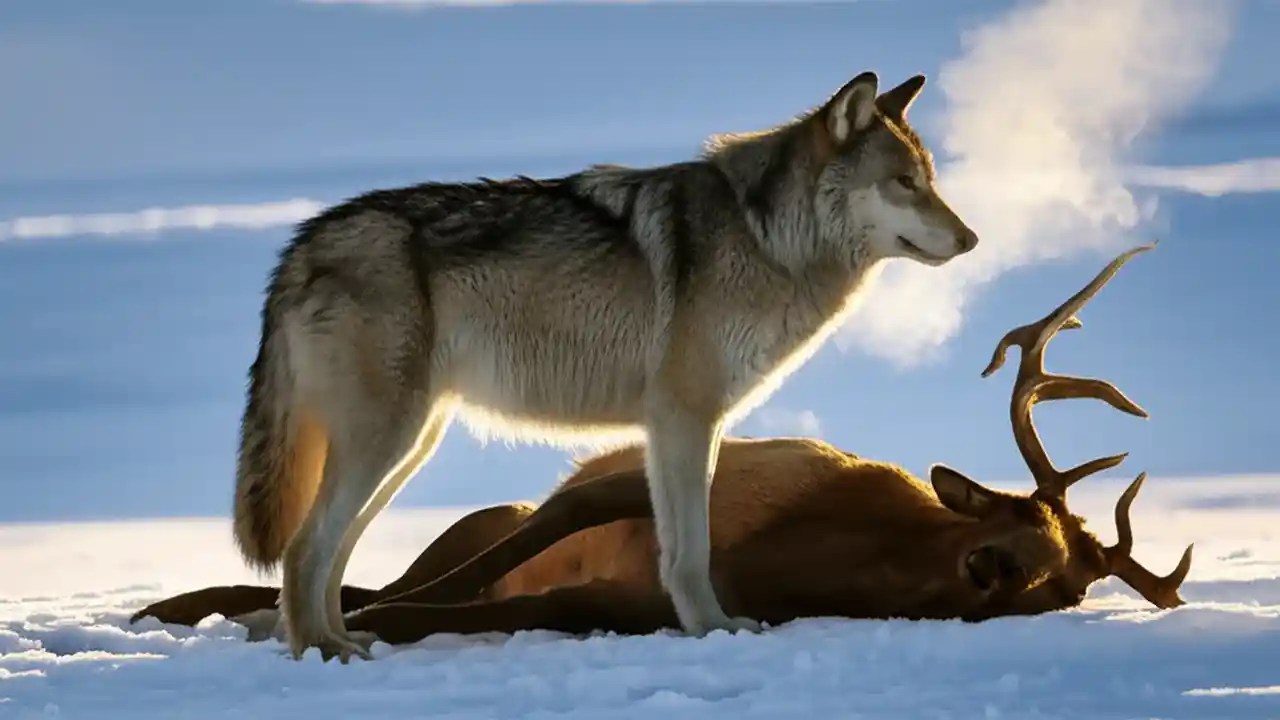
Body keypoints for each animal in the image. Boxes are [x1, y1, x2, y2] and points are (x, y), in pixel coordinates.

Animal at [132, 244, 1192, 649]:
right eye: (1016, 519)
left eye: (1067, 586)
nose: (994, 571)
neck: (839, 554)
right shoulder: (643, 481)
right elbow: (442, 582)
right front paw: (271, 620)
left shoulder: (629, 603)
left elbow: (481, 608)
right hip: (485, 505)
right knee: (384, 566)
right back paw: (191, 602)